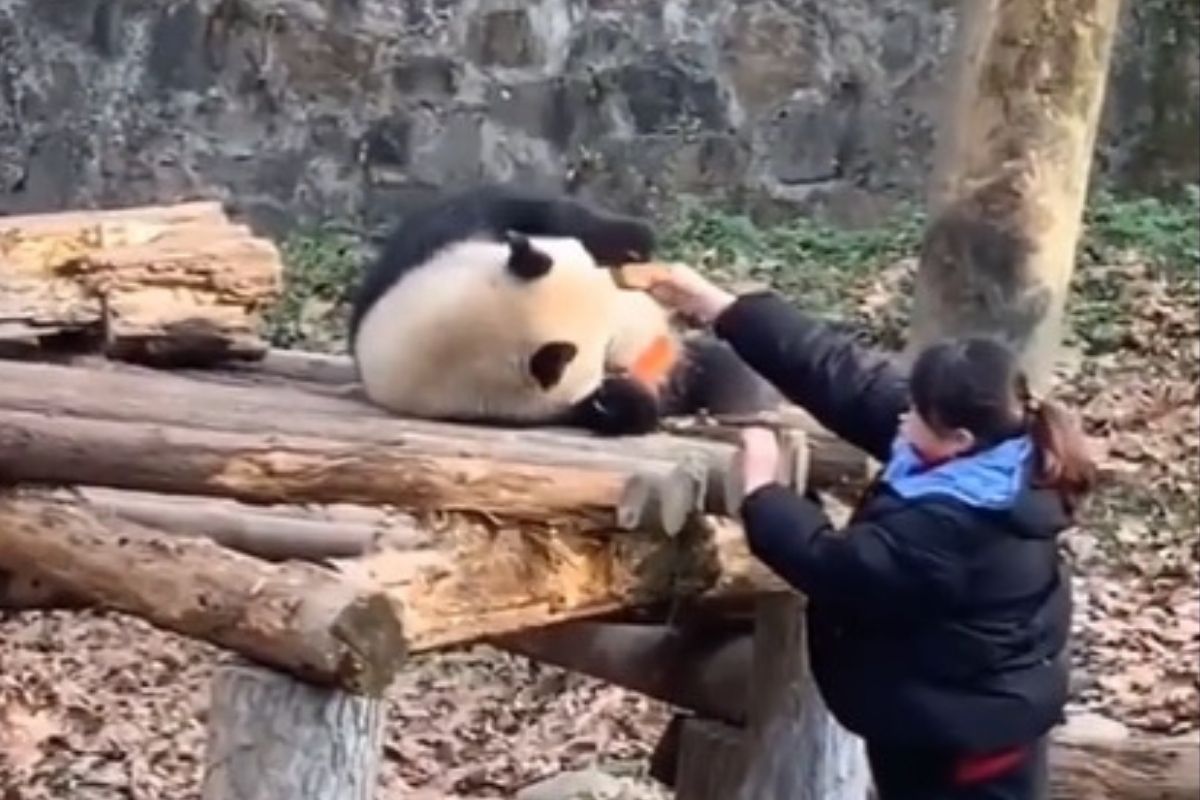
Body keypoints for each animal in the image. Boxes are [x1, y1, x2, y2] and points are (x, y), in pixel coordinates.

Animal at [348, 184, 781, 436]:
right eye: (609, 355)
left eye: (614, 287)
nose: (662, 340)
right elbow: (615, 410)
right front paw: (628, 399)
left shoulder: (425, 251)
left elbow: (519, 207)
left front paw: (631, 241)